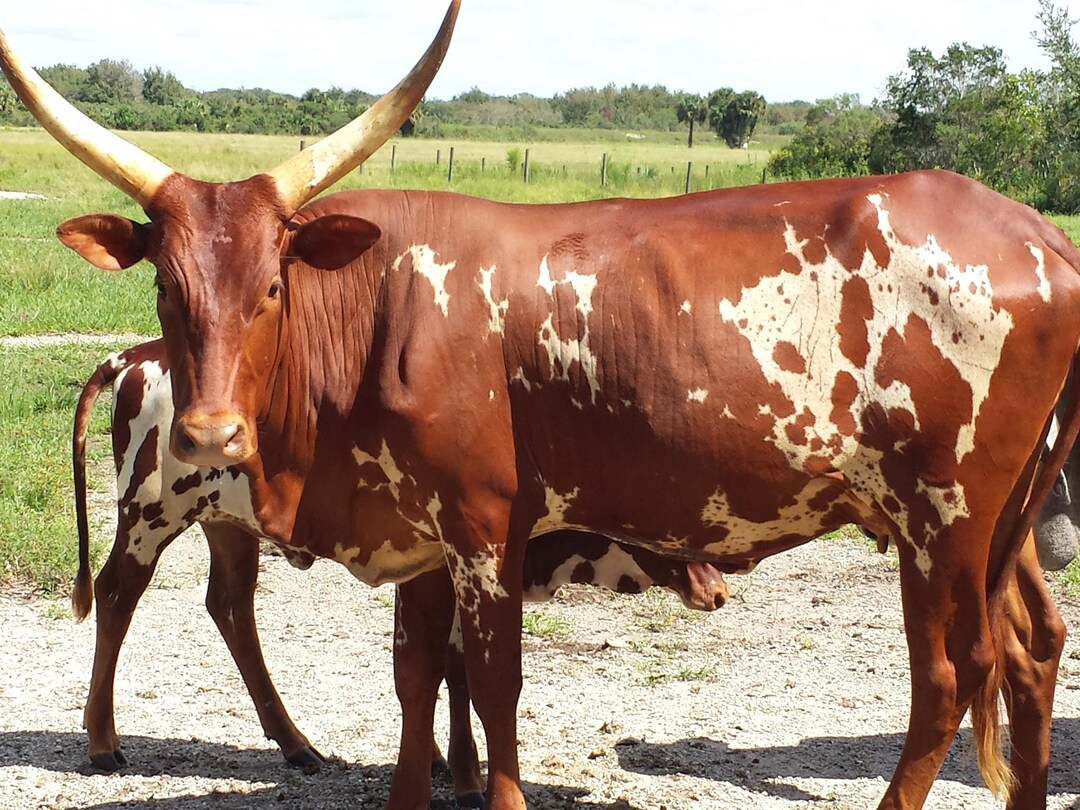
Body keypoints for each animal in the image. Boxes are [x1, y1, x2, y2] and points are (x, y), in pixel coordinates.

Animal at [72, 338, 727, 803]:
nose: (720, 591)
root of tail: (136, 356)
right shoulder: (456, 571)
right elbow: (450, 673)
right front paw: (463, 774)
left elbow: (447, 671)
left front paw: (447, 760)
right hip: (151, 514)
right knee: (116, 595)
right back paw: (103, 742)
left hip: (227, 523)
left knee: (230, 606)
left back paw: (295, 743)